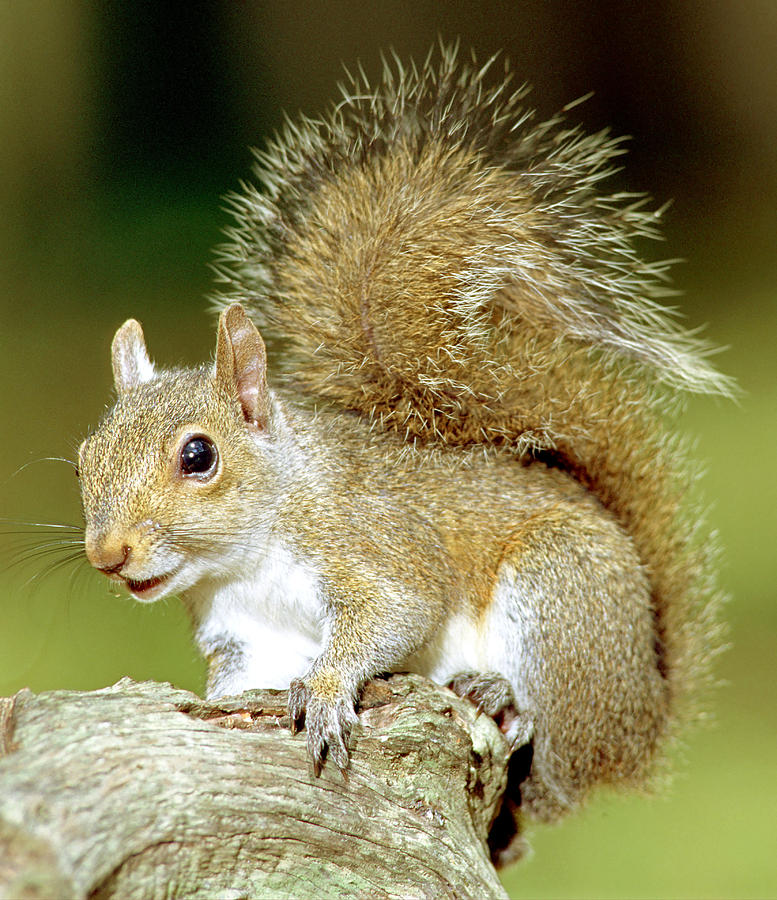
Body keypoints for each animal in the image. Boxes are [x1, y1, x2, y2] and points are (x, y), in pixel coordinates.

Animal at [77, 49, 730, 864]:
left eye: (198, 456)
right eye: (84, 457)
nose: (107, 553)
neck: (248, 559)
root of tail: (642, 719)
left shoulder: (373, 543)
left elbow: (395, 609)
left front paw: (328, 691)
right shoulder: (248, 640)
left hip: (562, 591)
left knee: (557, 771)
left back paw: (504, 700)